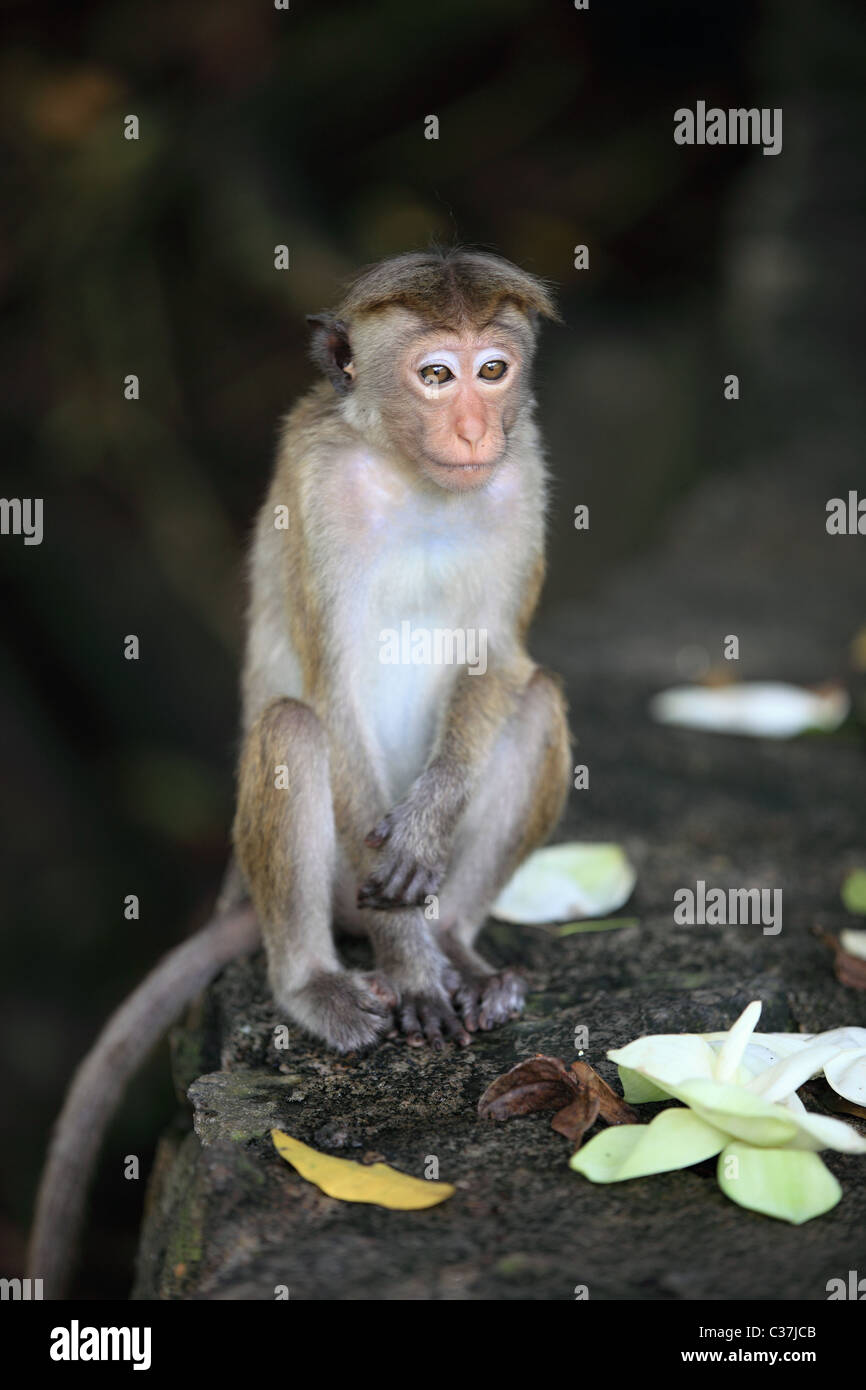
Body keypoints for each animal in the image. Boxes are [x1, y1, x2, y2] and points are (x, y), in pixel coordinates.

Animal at [28, 248, 571, 1297]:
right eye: (435, 375)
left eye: (493, 370)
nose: (476, 428)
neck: (412, 476)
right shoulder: (317, 486)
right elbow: (332, 687)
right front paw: (405, 967)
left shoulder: (523, 476)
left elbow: (497, 659)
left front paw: (428, 837)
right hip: (320, 889)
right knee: (291, 727)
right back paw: (319, 980)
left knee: (539, 698)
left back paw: (461, 948)